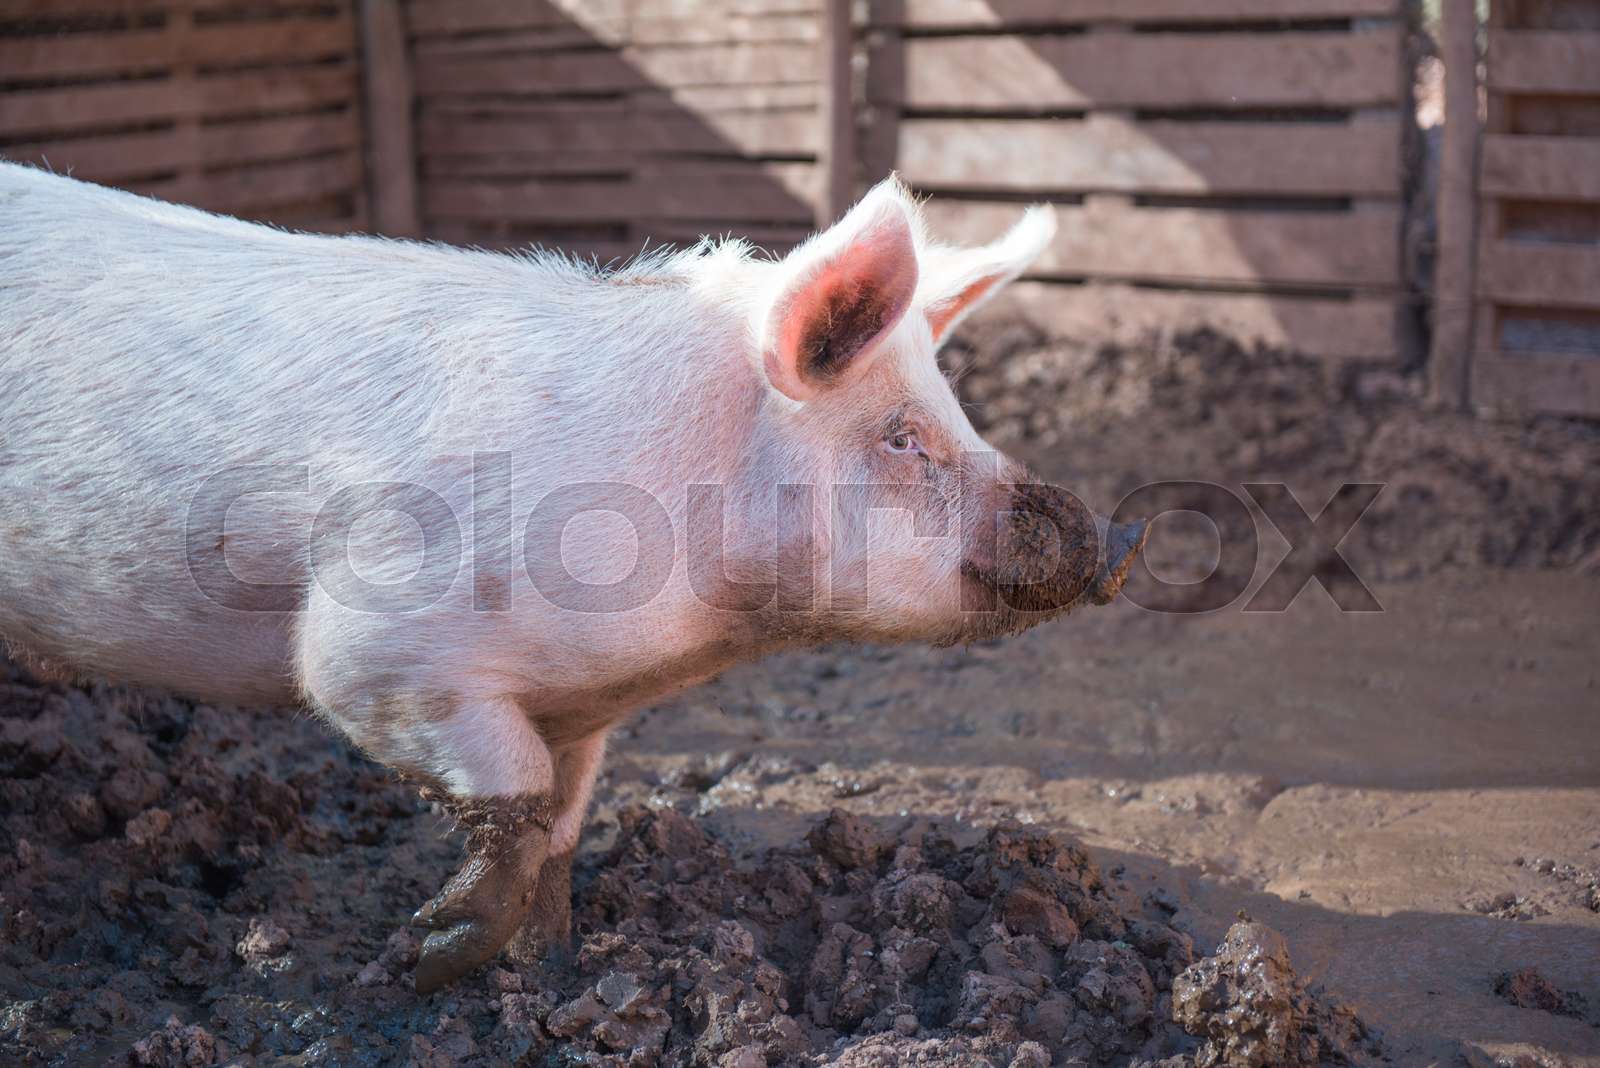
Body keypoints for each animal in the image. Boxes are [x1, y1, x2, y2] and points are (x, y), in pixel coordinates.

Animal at [0, 161, 1146, 991]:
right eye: (902, 437)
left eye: (956, 417)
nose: (1109, 534)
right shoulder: (379, 649)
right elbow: (503, 796)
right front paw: (419, 960)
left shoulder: (583, 710)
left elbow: (559, 829)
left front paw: (546, 969)